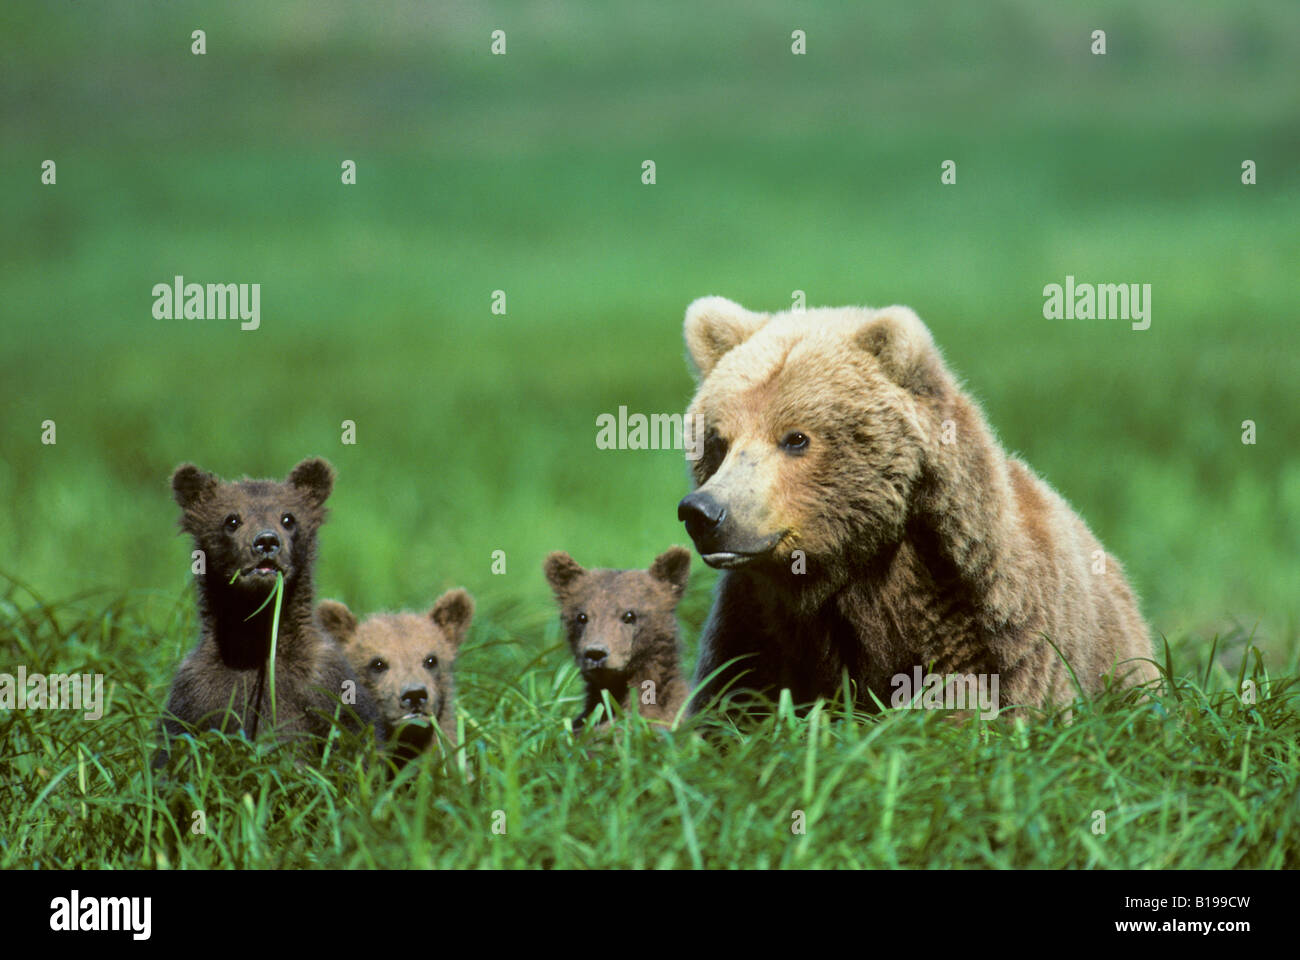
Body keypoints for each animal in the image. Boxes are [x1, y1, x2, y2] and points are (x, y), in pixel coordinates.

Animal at [157, 458, 379, 762]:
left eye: (289, 518)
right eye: (232, 519)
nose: (266, 541)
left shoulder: (328, 683)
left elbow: (356, 741)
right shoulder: (195, 694)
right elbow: (173, 750)